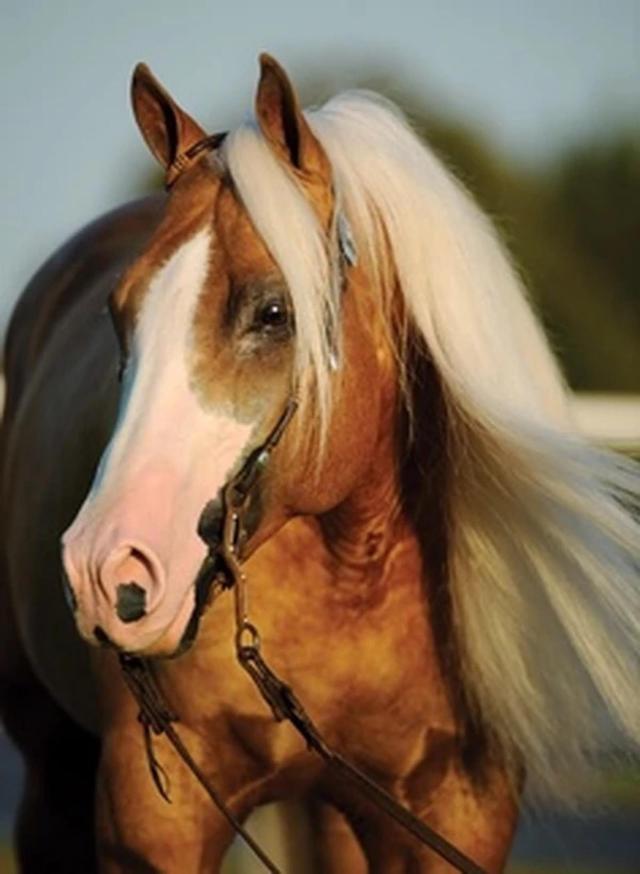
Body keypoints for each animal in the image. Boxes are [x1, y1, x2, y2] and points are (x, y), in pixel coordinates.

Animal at [1, 53, 639, 873]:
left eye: (274, 313)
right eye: (119, 315)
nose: (106, 570)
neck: (354, 568)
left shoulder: (454, 812)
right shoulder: (154, 815)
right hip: (50, 767)